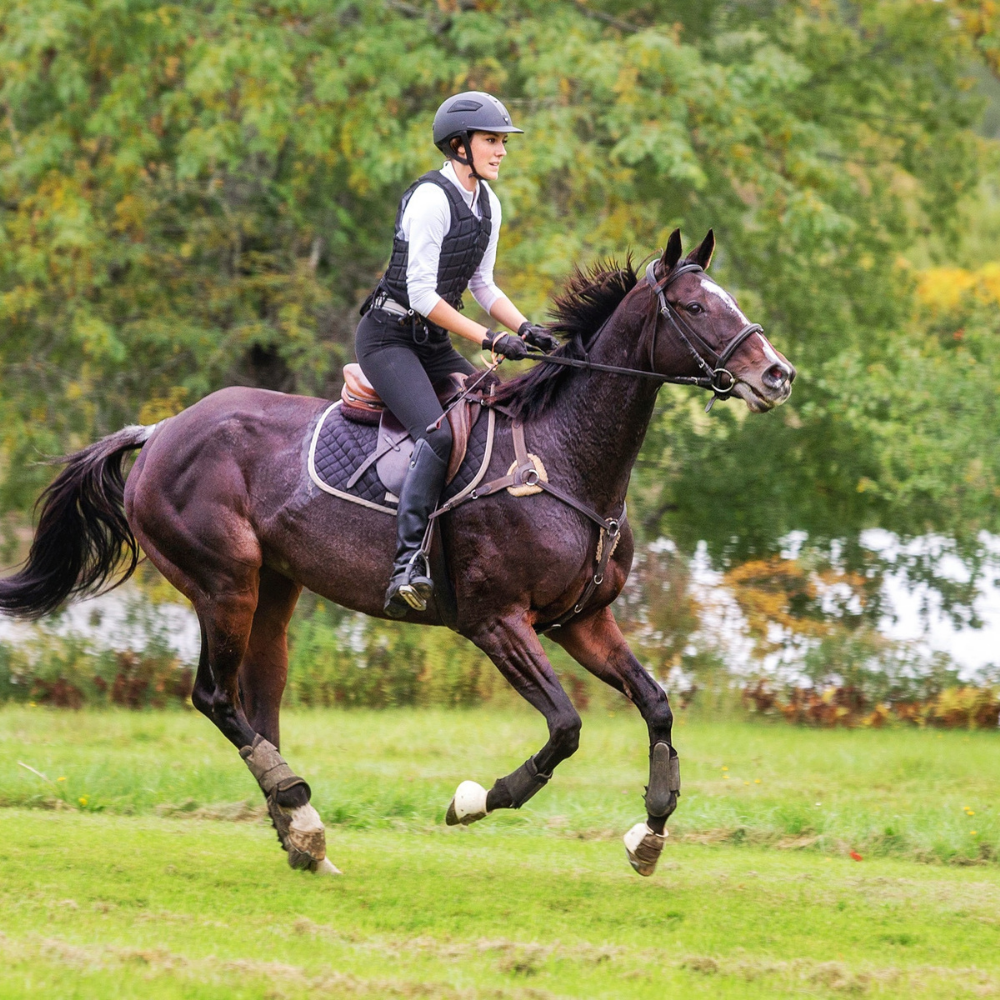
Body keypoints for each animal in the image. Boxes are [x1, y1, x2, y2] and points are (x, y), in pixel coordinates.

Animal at [0, 229, 794, 876]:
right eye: (694, 307)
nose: (778, 375)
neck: (564, 458)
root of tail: (160, 431)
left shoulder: (582, 622)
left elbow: (657, 706)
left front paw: (649, 832)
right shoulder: (495, 622)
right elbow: (566, 729)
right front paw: (477, 799)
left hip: (274, 590)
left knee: (260, 698)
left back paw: (301, 835)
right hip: (224, 584)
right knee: (216, 698)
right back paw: (297, 806)